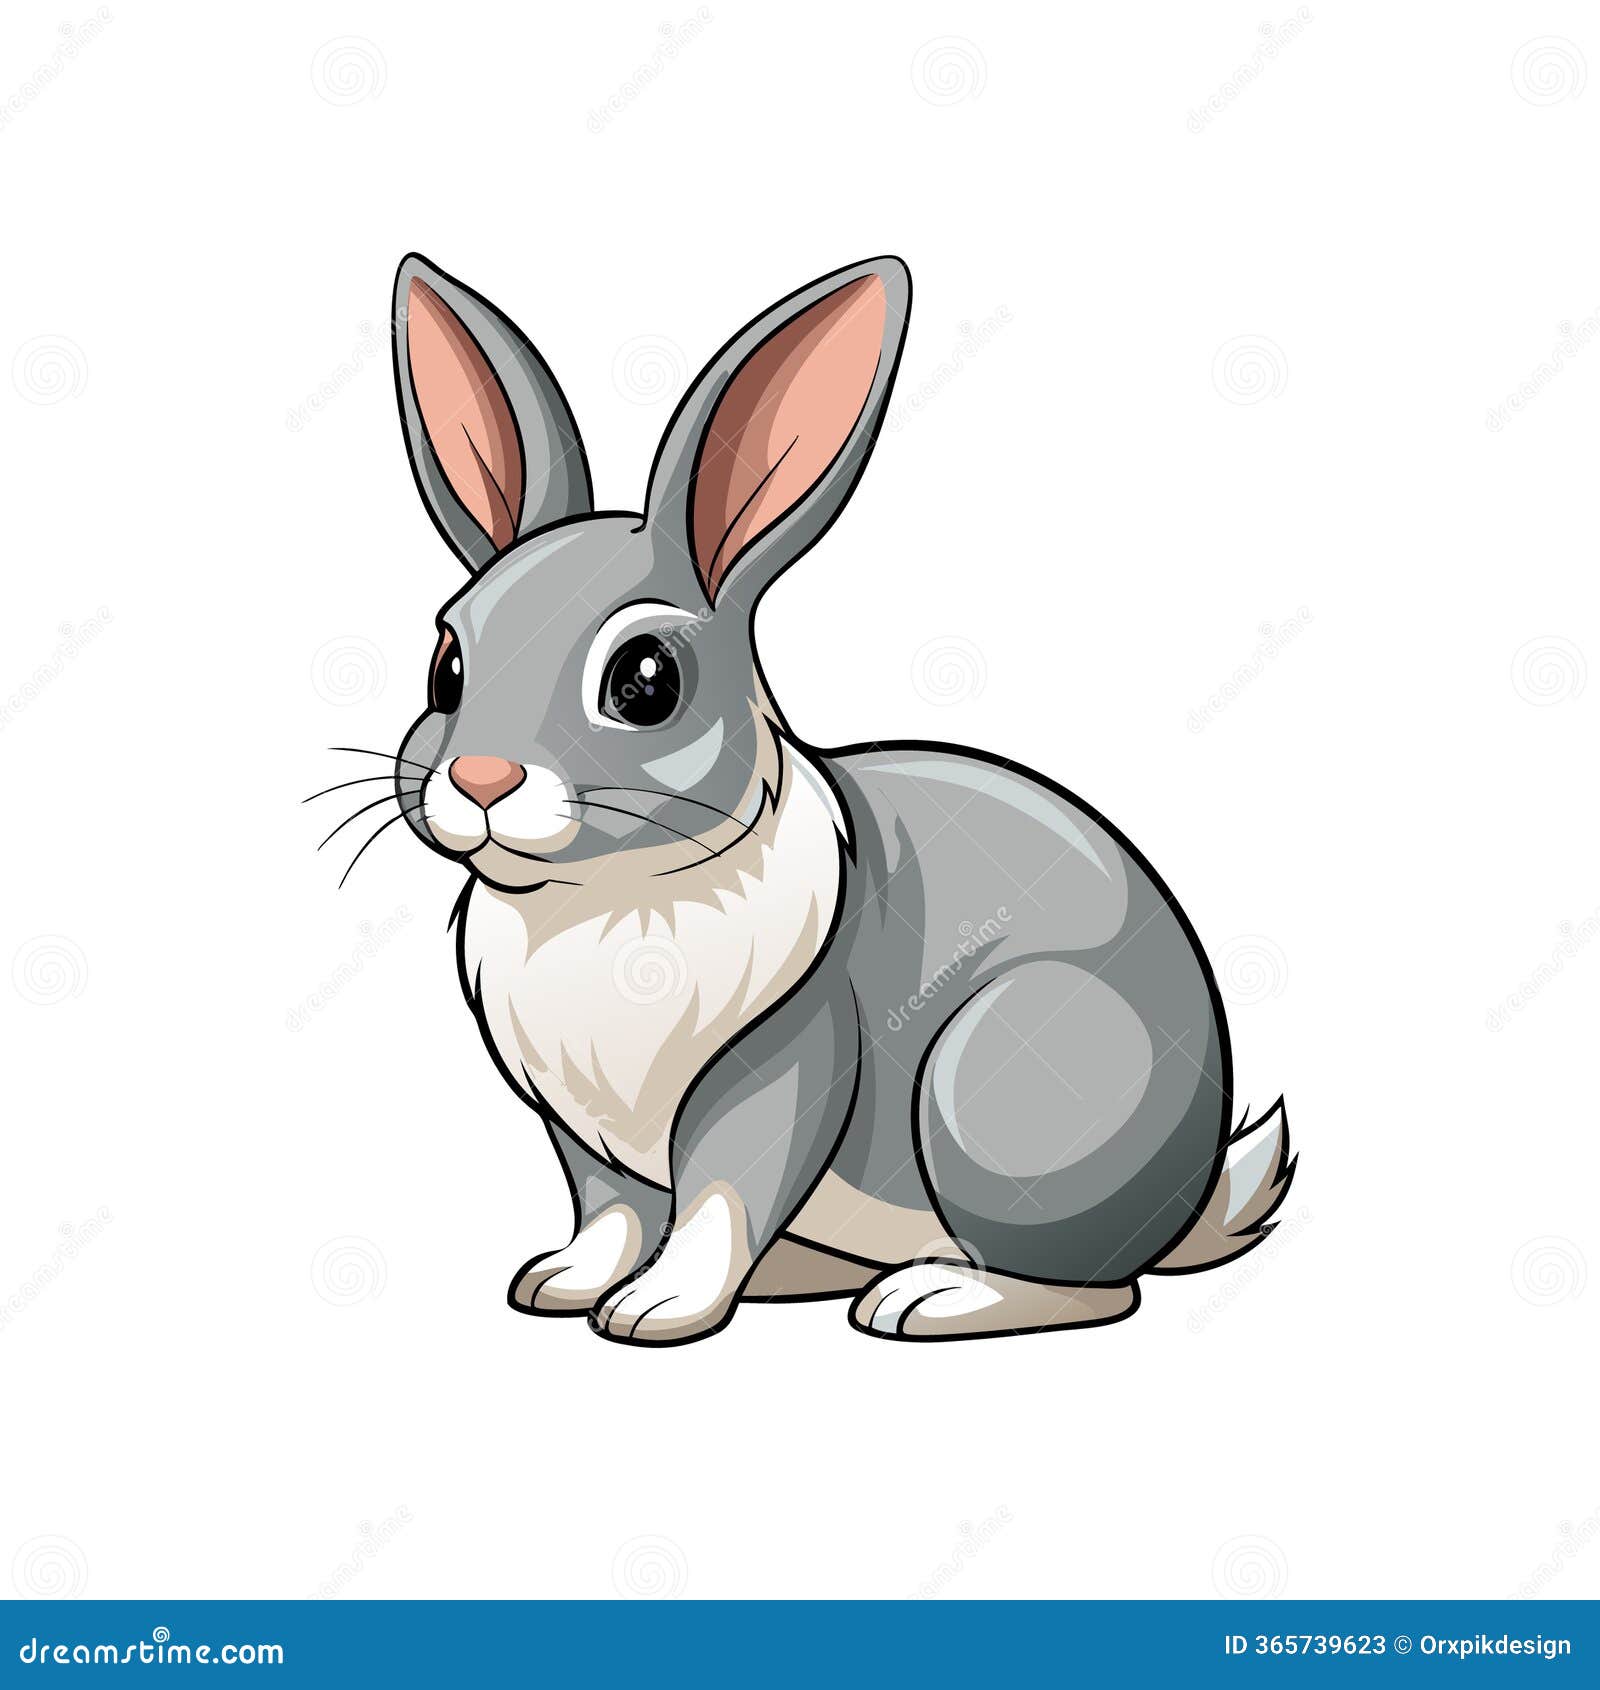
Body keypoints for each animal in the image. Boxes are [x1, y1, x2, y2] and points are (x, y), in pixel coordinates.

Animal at [375, 250, 1294, 1346]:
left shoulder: (781, 1067)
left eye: (645, 680)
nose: (481, 780)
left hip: (995, 1091)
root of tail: (1191, 1196)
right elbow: (608, 1213)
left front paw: (656, 1310)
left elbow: (723, 1196)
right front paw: (559, 1284)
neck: (608, 895)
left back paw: (928, 1297)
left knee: (1096, 1287)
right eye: (446, 666)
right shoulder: (581, 1133)